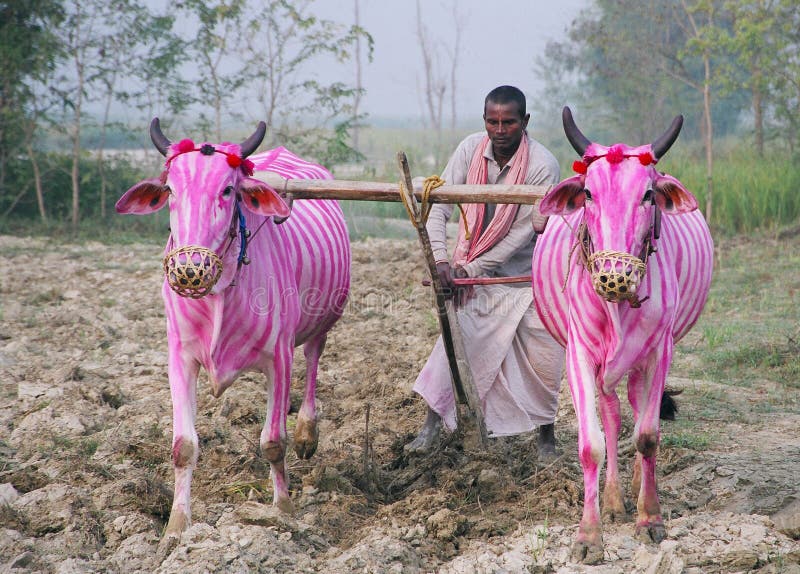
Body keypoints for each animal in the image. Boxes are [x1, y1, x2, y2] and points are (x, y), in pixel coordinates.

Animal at [115, 119, 351, 546]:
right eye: (171, 190)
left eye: (227, 190)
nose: (189, 269)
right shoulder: (180, 358)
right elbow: (183, 446)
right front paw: (177, 526)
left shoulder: (279, 357)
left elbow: (274, 442)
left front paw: (284, 511)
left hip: (324, 319)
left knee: (313, 359)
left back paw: (307, 432)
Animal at [532, 107, 713, 564]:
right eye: (588, 194)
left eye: (648, 195)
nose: (613, 278)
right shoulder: (578, 353)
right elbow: (591, 444)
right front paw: (589, 534)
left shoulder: (660, 350)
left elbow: (647, 435)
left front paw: (650, 518)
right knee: (613, 412)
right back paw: (614, 497)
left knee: (635, 406)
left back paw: (635, 487)